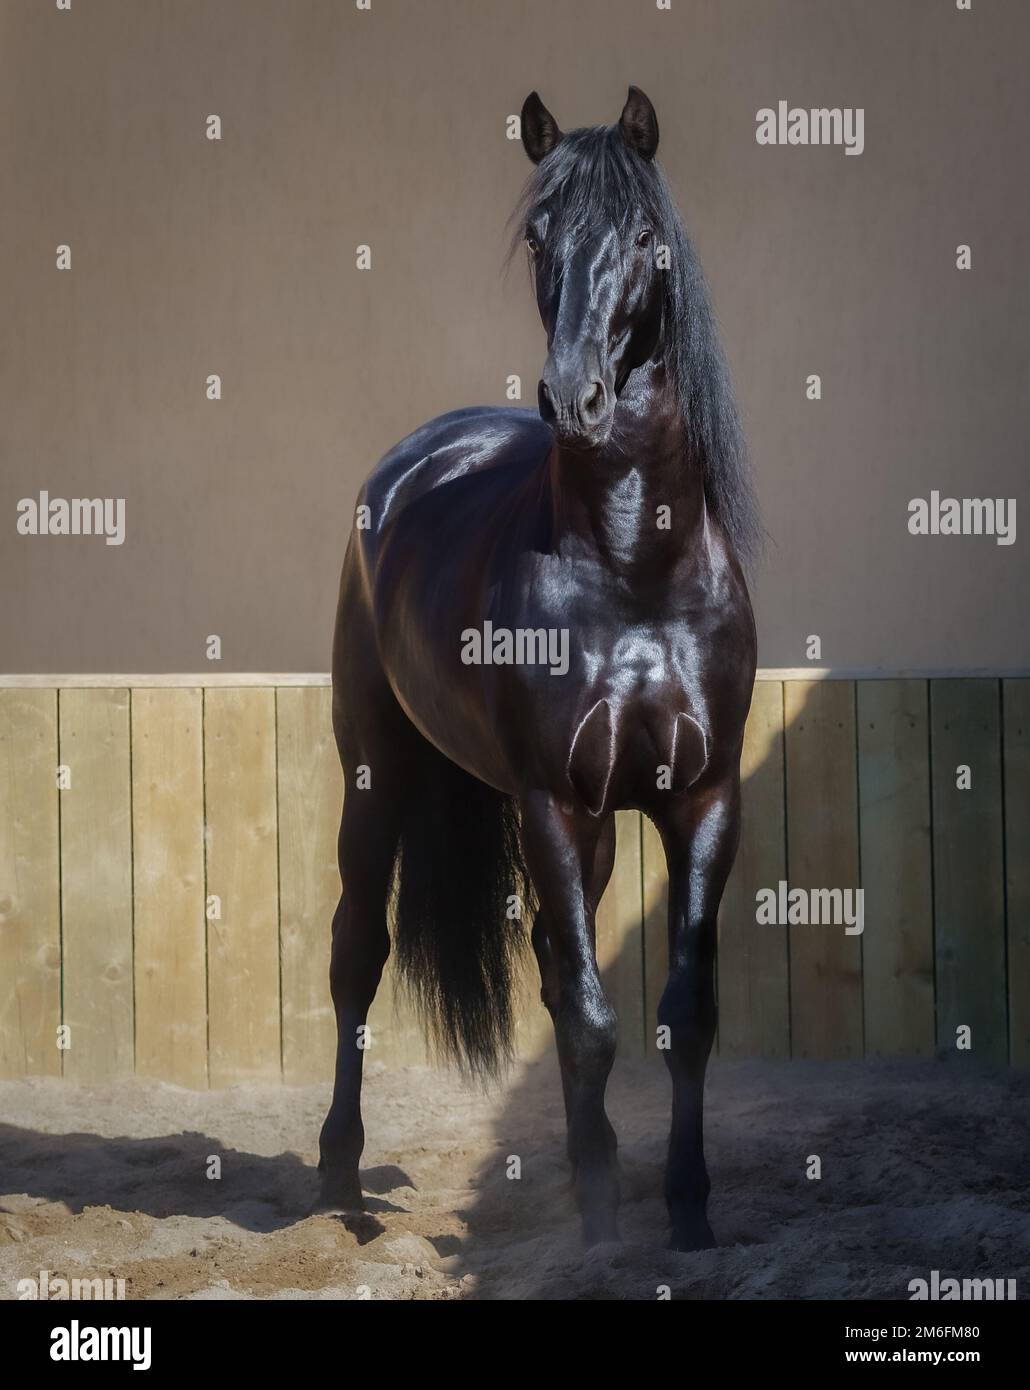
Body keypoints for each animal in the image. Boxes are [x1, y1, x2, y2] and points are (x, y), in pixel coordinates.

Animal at [318, 86, 759, 1252]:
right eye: (537, 235)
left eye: (644, 236)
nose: (576, 399)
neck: (635, 571)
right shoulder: (549, 802)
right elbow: (594, 1023)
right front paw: (599, 1223)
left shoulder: (702, 798)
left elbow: (680, 1014)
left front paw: (686, 1209)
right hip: (379, 776)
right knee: (357, 952)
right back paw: (337, 1176)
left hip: (597, 826)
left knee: (562, 978)